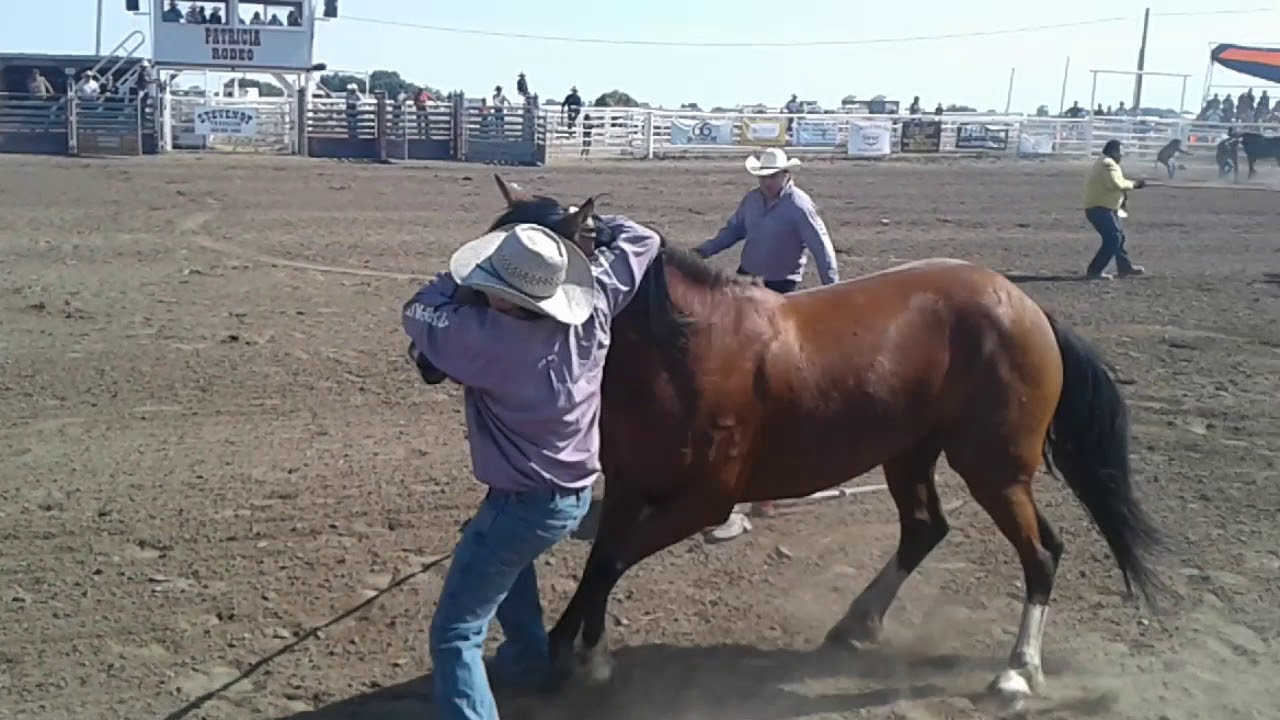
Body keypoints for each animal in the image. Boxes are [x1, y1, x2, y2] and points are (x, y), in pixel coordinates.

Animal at [449, 175, 1164, 711]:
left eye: (506, 278)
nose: (434, 349)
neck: (685, 350)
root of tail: (1024, 306)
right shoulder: (628, 487)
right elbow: (602, 560)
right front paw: (577, 649)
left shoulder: (699, 502)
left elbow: (614, 560)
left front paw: (579, 658)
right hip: (909, 452)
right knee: (925, 530)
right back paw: (857, 624)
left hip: (995, 470)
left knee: (1042, 553)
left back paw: (1016, 672)